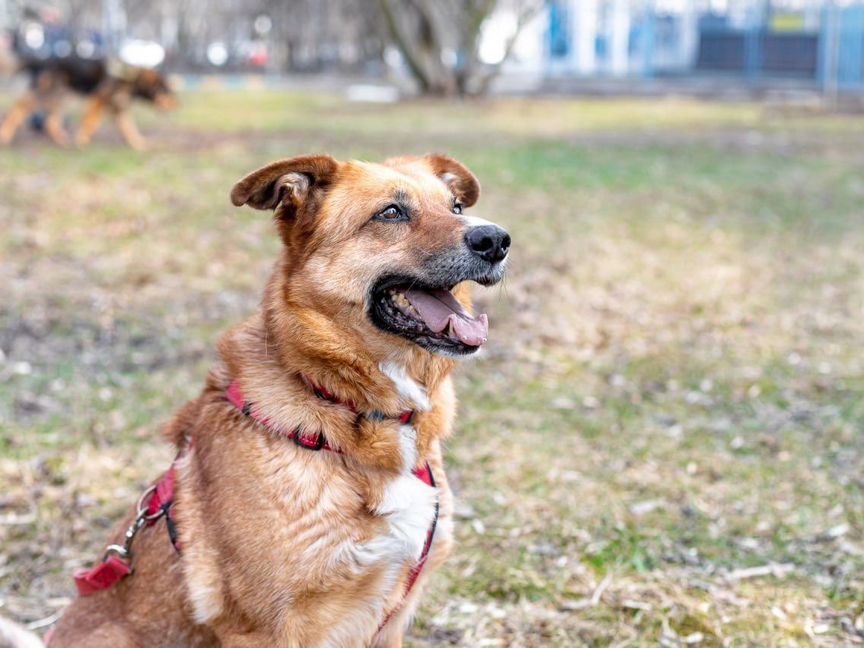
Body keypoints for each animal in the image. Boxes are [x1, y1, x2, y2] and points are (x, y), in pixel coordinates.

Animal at [0, 48, 177, 150]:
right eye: (167, 93)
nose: (178, 105)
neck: (131, 79)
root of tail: (44, 60)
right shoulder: (99, 100)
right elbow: (91, 121)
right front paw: (82, 140)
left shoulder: (117, 109)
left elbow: (129, 128)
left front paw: (138, 144)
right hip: (45, 94)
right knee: (18, 108)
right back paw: (5, 135)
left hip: (59, 97)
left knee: (51, 122)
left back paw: (62, 140)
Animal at [42, 154, 506, 644]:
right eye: (391, 212)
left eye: (456, 207)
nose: (496, 239)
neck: (349, 411)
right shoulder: (263, 629)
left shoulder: (390, 620)